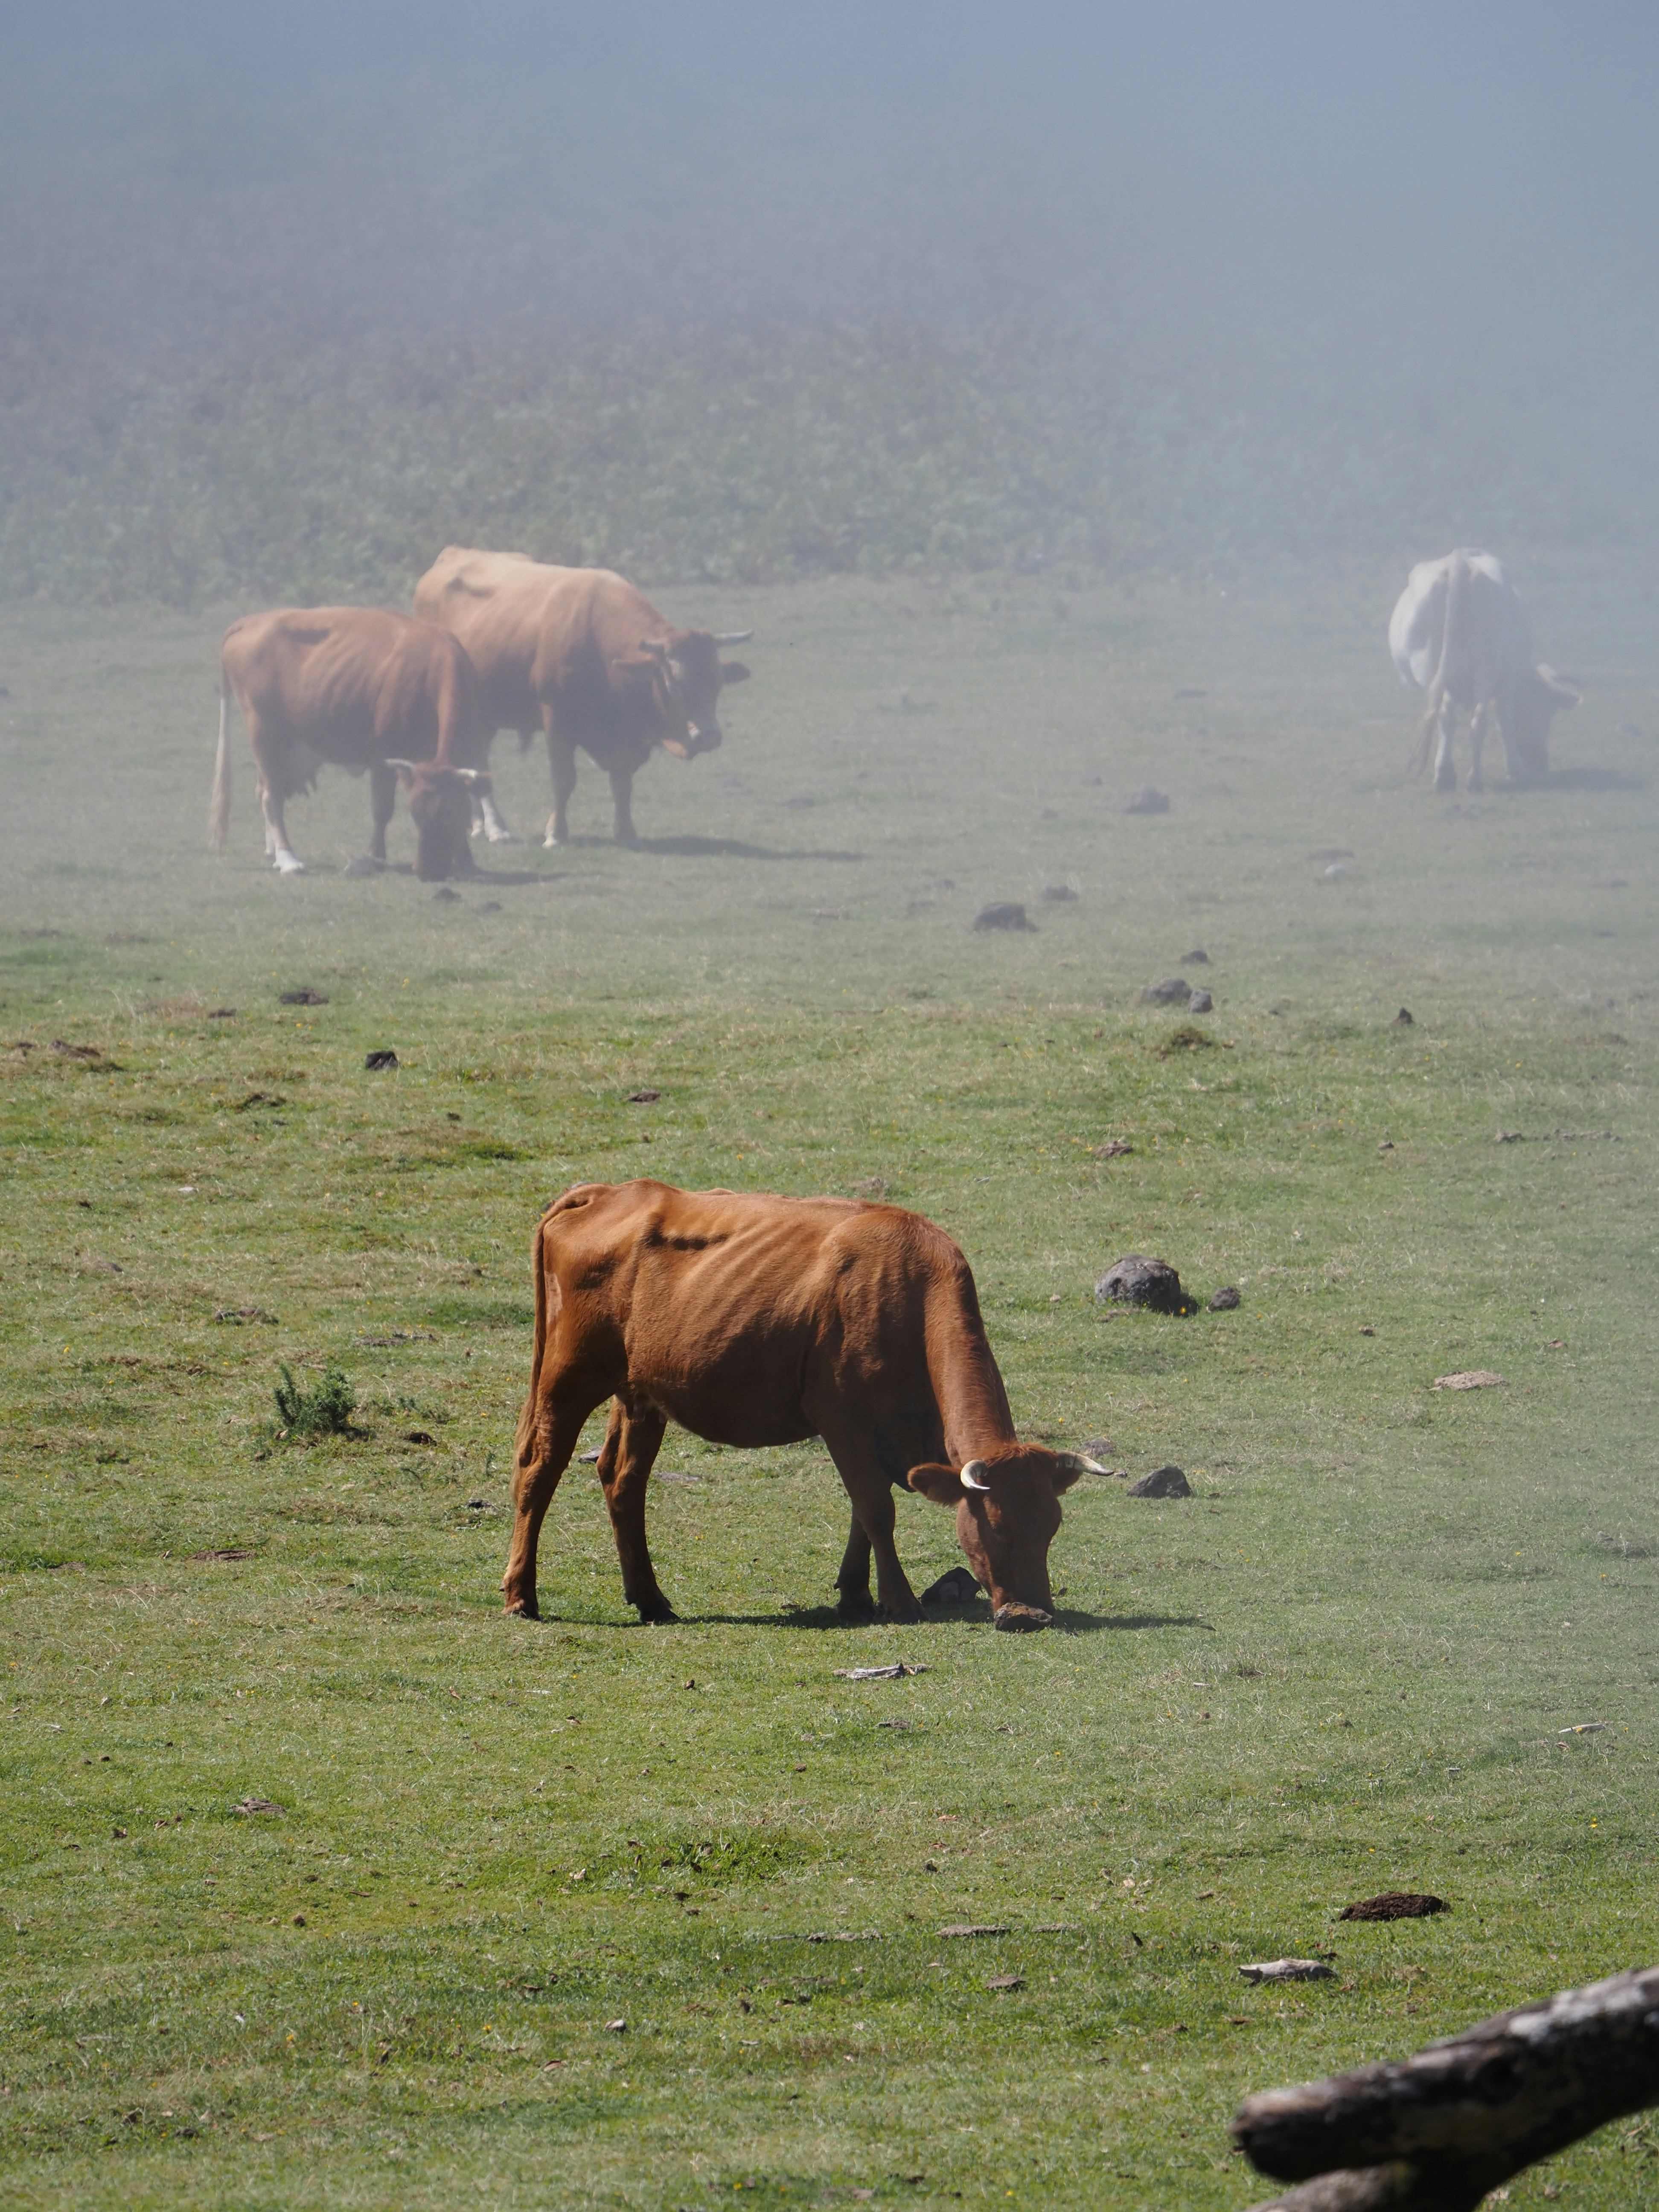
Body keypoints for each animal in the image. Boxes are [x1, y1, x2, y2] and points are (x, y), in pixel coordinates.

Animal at [211, 606, 492, 881]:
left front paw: (467, 861)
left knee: (263, 790)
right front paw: (374, 857)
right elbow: (382, 810)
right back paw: (288, 858)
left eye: (449, 813)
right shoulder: (383, 758)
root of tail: (251, 620)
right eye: (414, 813)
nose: (426, 872)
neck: (432, 669)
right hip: (265, 734)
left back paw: (273, 853)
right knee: (272, 797)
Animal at [413, 546, 751, 848]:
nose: (709, 736)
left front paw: (627, 833)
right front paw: (556, 834)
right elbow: (564, 780)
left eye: (718, 684)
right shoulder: (556, 720)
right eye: (675, 685)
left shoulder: (623, 740)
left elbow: (622, 784)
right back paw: (497, 828)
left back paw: (480, 825)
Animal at [506, 1180, 1104, 1632]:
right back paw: (521, 1596)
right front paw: (899, 1601)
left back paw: (652, 1600)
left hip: (640, 1393)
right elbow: (876, 1507)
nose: (1031, 1615)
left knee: (622, 1479)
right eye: (997, 1528)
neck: (911, 1294)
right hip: (569, 1374)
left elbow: (865, 1510)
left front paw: (856, 1596)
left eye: (1051, 1527)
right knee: (540, 1467)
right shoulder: (841, 1417)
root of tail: (611, 1190)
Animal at [1389, 549, 1579, 792]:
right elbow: (1505, 722)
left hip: (1432, 667)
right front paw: (1515, 769)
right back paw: (1474, 779)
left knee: (1448, 716)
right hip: (1487, 669)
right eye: (1547, 714)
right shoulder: (1507, 683)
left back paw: (1446, 776)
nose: (1541, 763)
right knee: (1479, 720)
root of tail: (1460, 562)